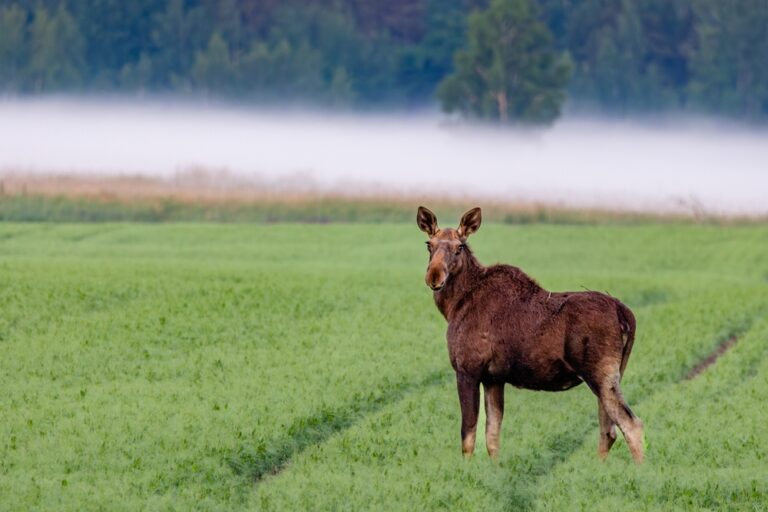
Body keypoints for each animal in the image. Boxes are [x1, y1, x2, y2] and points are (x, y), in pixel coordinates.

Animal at [417, 206, 644, 463]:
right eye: (429, 244)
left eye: (459, 247)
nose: (434, 276)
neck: (453, 306)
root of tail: (625, 313)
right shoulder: (494, 378)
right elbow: (492, 436)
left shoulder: (467, 369)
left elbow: (468, 436)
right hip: (612, 374)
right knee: (608, 431)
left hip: (601, 374)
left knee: (631, 425)